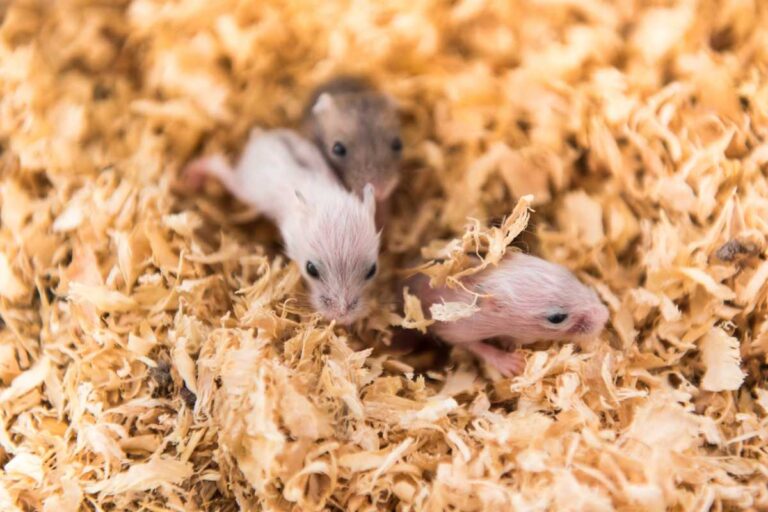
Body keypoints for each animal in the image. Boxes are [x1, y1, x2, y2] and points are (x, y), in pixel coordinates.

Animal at [184, 128, 380, 325]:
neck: (327, 198)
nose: (342, 317)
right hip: (245, 186)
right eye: (311, 269)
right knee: (222, 169)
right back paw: (195, 173)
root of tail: (261, 138)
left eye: (372, 270)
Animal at [407, 252, 610, 376]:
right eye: (557, 318)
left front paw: (509, 342)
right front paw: (513, 364)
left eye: (569, 273)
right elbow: (476, 346)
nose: (605, 315)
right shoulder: (456, 329)